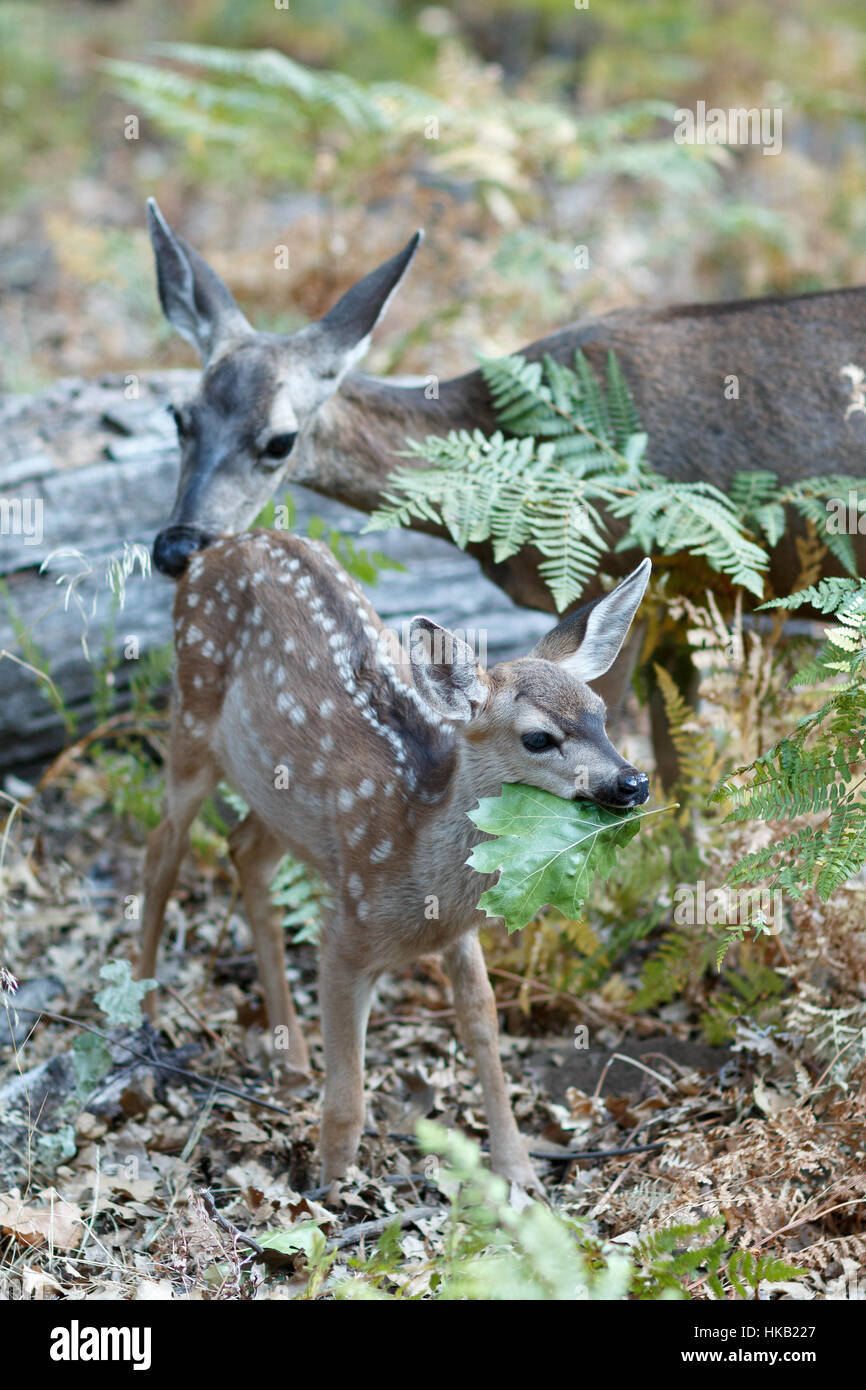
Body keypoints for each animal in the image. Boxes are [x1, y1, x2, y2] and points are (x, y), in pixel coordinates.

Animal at [138, 520, 652, 1187]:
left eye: (603, 715)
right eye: (538, 738)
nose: (633, 782)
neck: (412, 855)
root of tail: (218, 545)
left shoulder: (460, 935)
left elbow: (483, 1025)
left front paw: (519, 1175)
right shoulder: (346, 933)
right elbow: (350, 1095)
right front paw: (328, 1189)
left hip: (274, 794)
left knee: (244, 849)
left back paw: (291, 1055)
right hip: (190, 718)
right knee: (160, 851)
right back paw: (144, 1019)